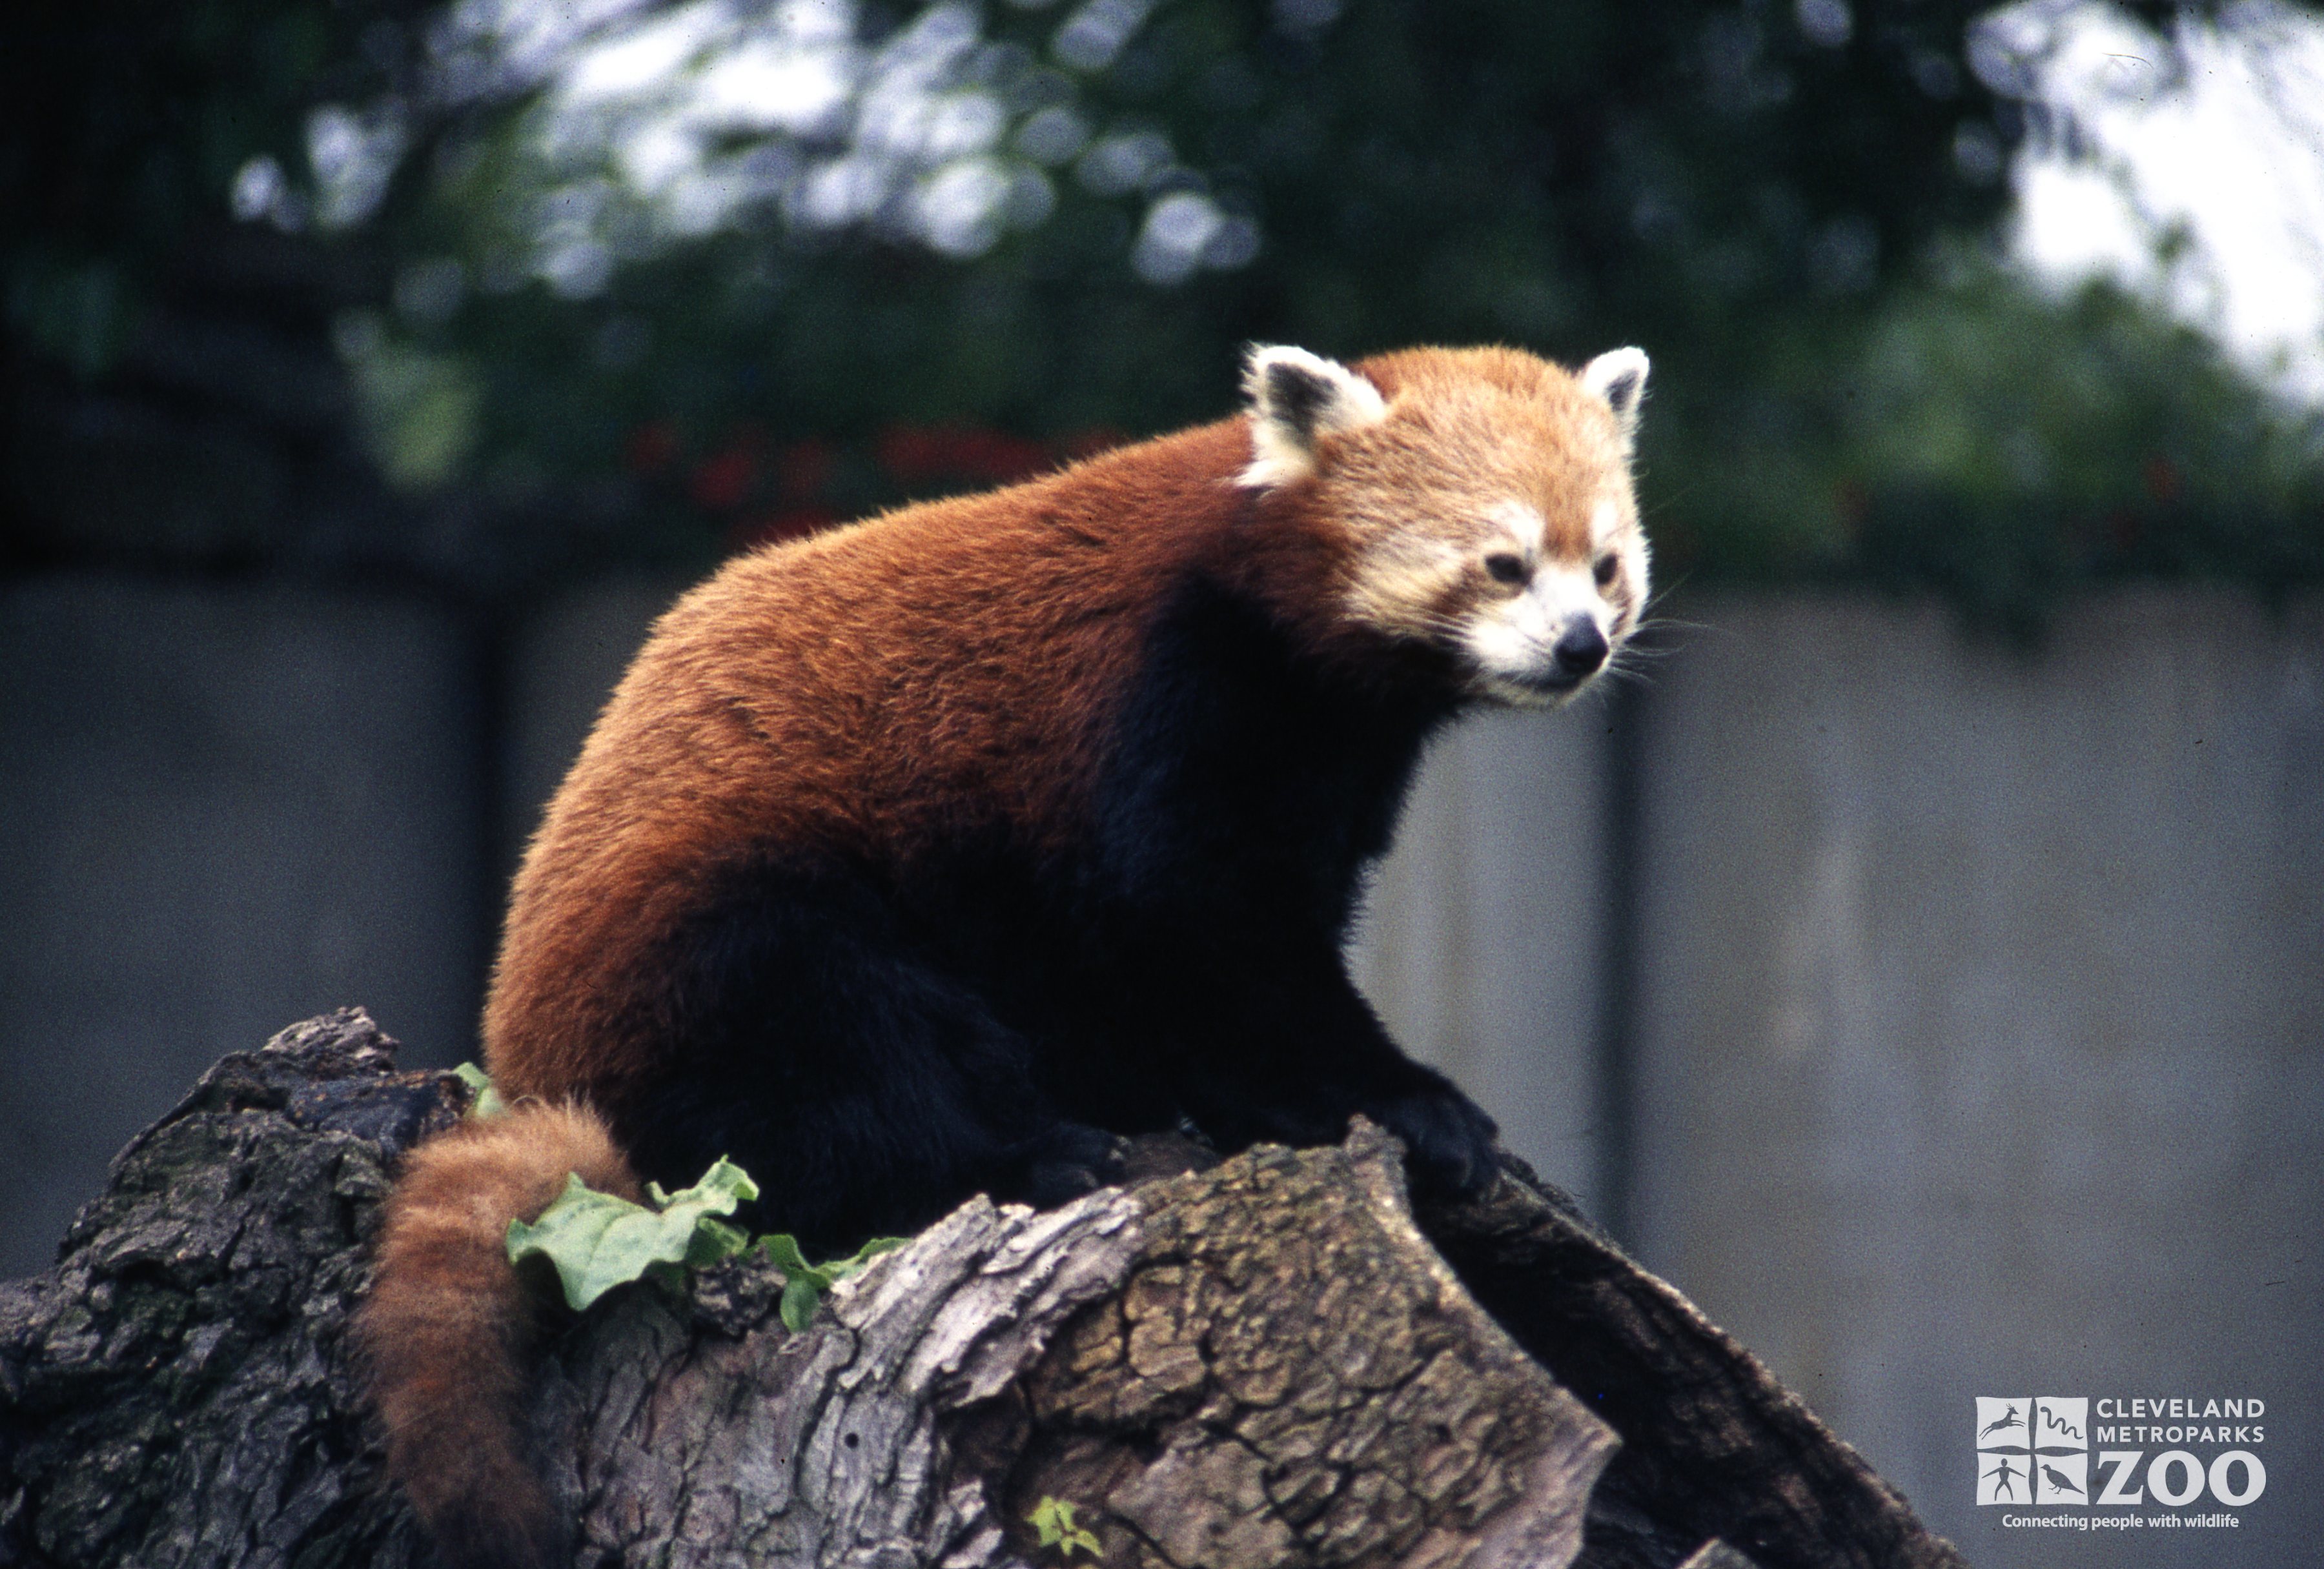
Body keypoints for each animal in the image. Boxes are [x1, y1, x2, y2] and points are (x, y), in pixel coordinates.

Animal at [358, 341, 1651, 1569]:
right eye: (1503, 563)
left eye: (1604, 565)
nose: (1580, 646)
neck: (1275, 631)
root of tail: (533, 1059)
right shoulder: (1165, 708)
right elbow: (1214, 954)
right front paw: (1415, 1107)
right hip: (717, 923)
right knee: (830, 1064)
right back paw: (1030, 1154)